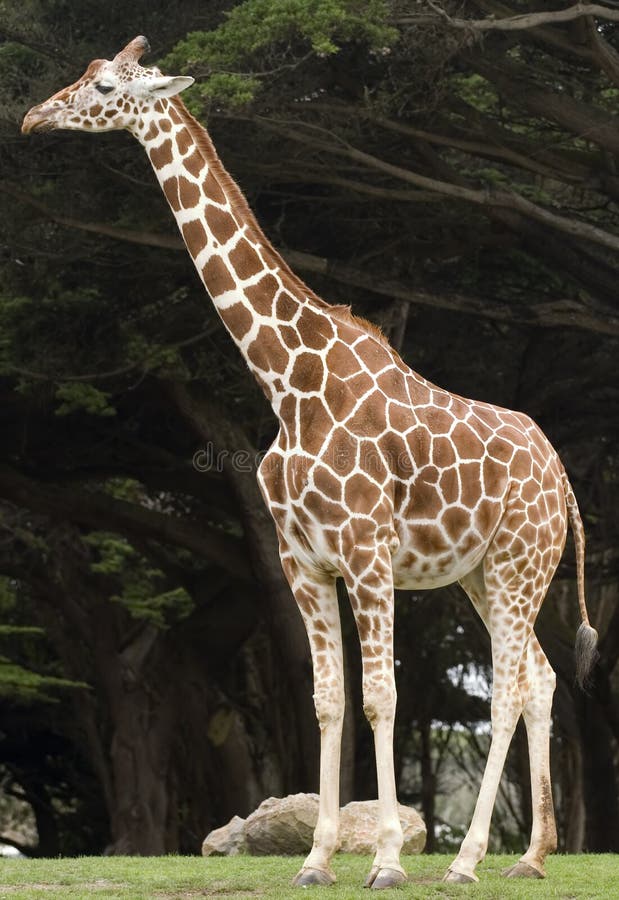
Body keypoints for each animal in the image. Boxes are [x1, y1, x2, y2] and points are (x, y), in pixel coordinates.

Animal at [23, 36, 598, 887]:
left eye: (101, 88)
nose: (33, 116)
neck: (287, 382)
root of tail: (562, 480)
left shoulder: (365, 553)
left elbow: (381, 697)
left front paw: (387, 860)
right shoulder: (301, 560)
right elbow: (329, 700)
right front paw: (318, 858)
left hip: (520, 562)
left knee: (505, 689)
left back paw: (465, 862)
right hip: (483, 574)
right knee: (539, 677)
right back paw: (529, 856)